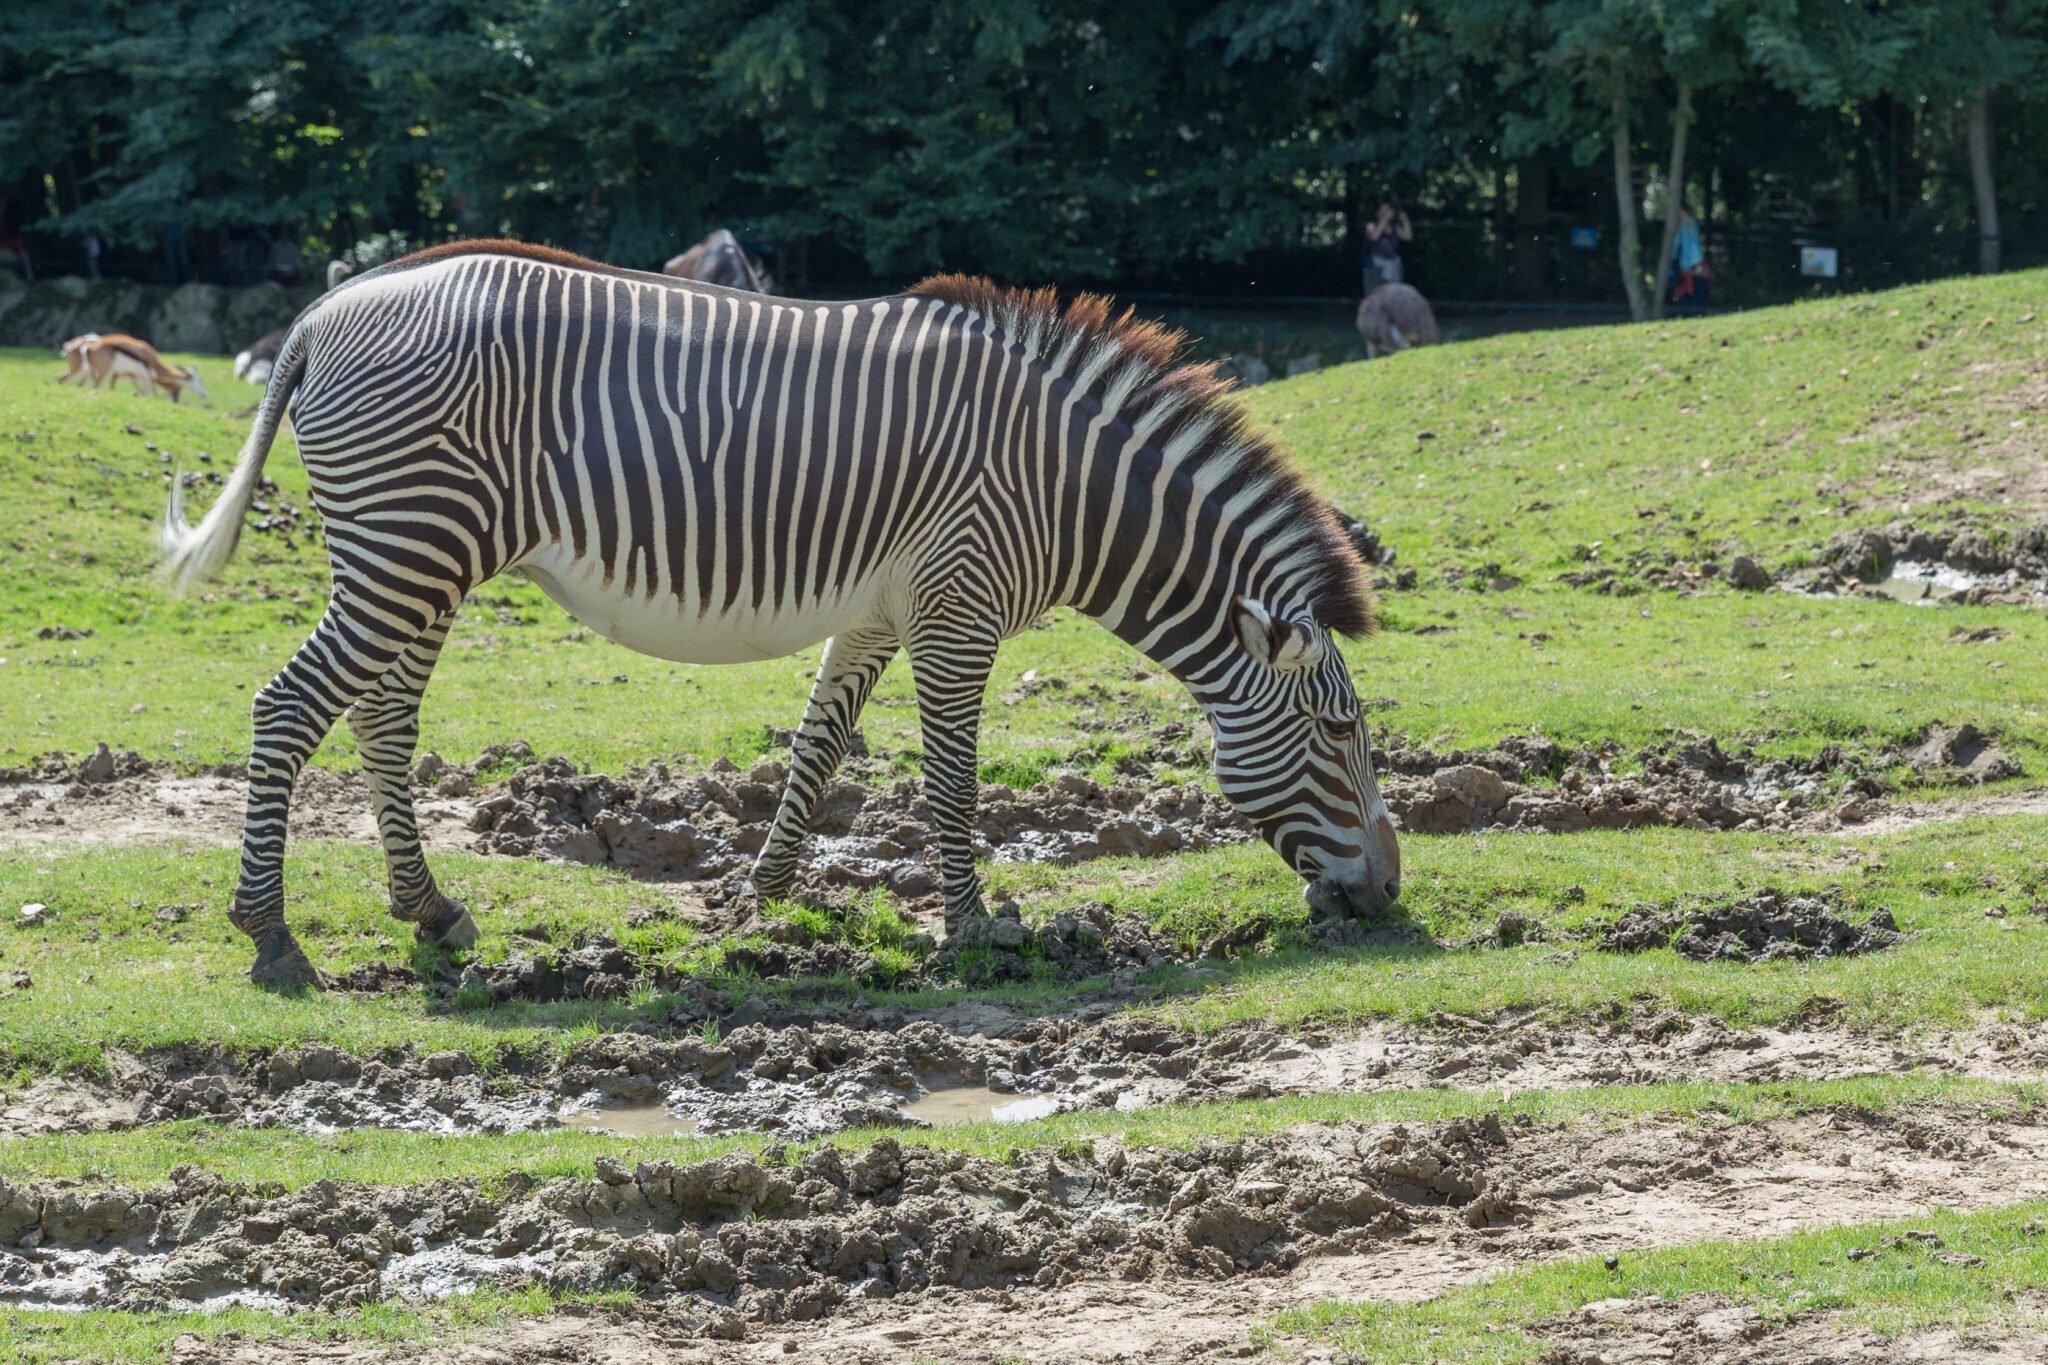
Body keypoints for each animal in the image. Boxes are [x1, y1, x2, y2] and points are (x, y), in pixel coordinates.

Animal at [162, 240, 1401, 988]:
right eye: (1341, 732)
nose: (1390, 897)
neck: (1065, 488)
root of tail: (325, 311)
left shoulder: (881, 611)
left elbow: (817, 750)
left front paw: (755, 902)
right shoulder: (958, 606)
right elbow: (951, 781)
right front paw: (974, 932)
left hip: (420, 557)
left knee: (380, 720)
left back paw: (427, 910)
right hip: (410, 546)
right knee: (290, 706)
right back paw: (272, 937)